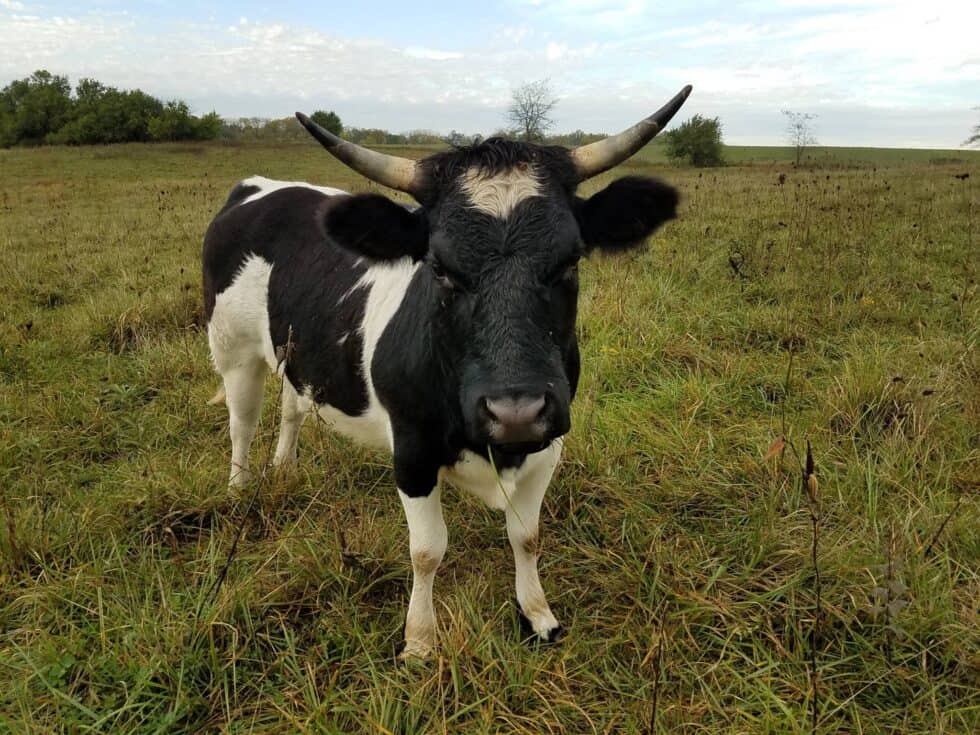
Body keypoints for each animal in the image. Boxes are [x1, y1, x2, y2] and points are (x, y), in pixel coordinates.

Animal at [203, 85, 692, 659]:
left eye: (571, 262)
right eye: (439, 268)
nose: (515, 411)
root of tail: (261, 187)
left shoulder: (549, 444)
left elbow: (526, 536)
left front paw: (538, 614)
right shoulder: (412, 453)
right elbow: (427, 551)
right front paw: (419, 640)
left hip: (294, 354)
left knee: (291, 407)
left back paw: (284, 467)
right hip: (233, 352)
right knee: (241, 422)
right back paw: (240, 487)